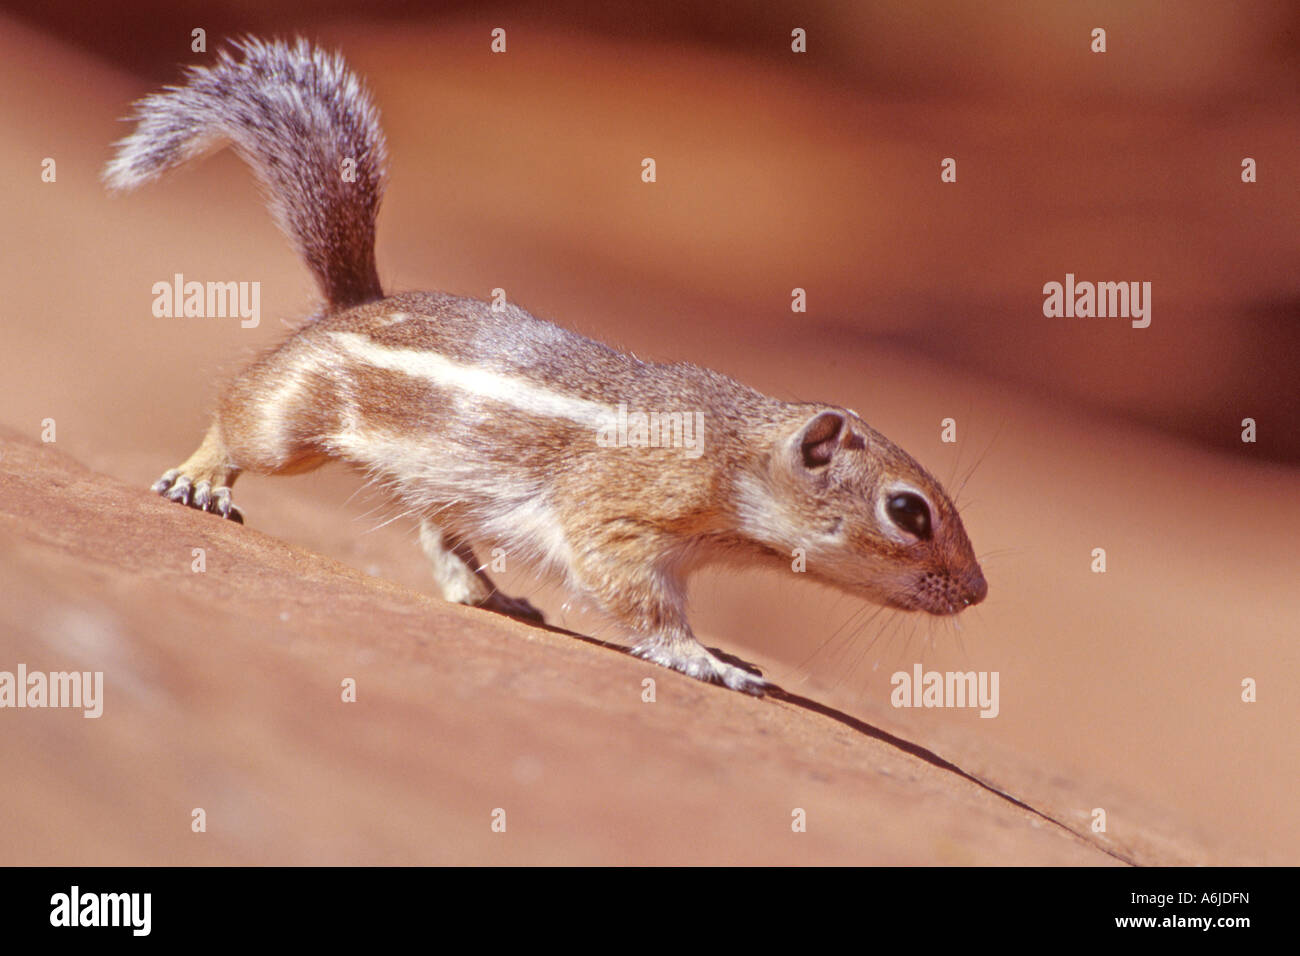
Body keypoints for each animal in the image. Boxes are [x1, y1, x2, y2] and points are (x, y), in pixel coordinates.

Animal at [104, 37, 987, 695]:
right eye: (909, 513)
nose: (978, 592)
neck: (737, 452)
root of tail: (352, 306)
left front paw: (720, 651)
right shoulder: (621, 516)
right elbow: (640, 600)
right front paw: (705, 660)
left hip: (450, 484)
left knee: (442, 537)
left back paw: (490, 592)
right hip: (293, 425)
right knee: (238, 422)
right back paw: (201, 481)